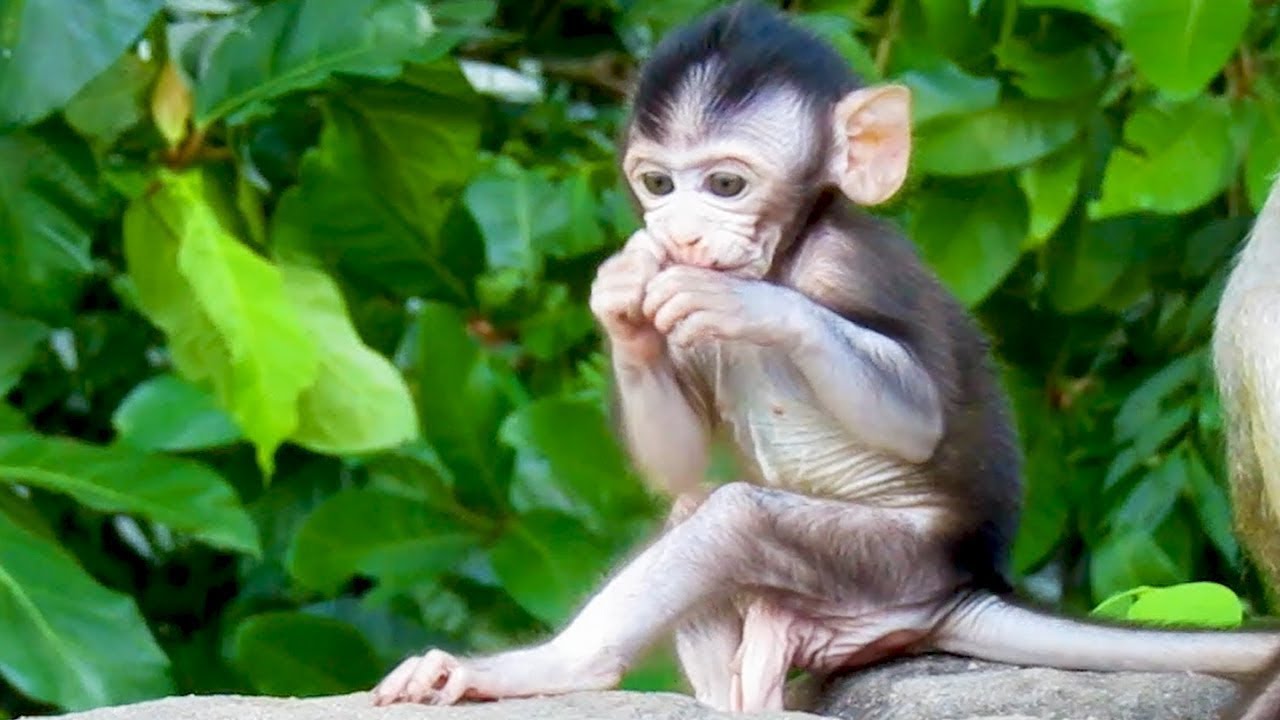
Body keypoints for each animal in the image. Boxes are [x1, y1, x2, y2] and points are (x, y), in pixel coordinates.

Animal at [372, 3, 1280, 712]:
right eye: (659, 185)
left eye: (726, 185)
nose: (681, 234)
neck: (785, 250)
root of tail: (967, 588)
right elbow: (675, 464)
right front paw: (624, 293)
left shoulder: (848, 264)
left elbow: (913, 413)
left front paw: (753, 309)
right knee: (694, 507)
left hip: (889, 565)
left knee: (737, 518)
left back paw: (555, 666)